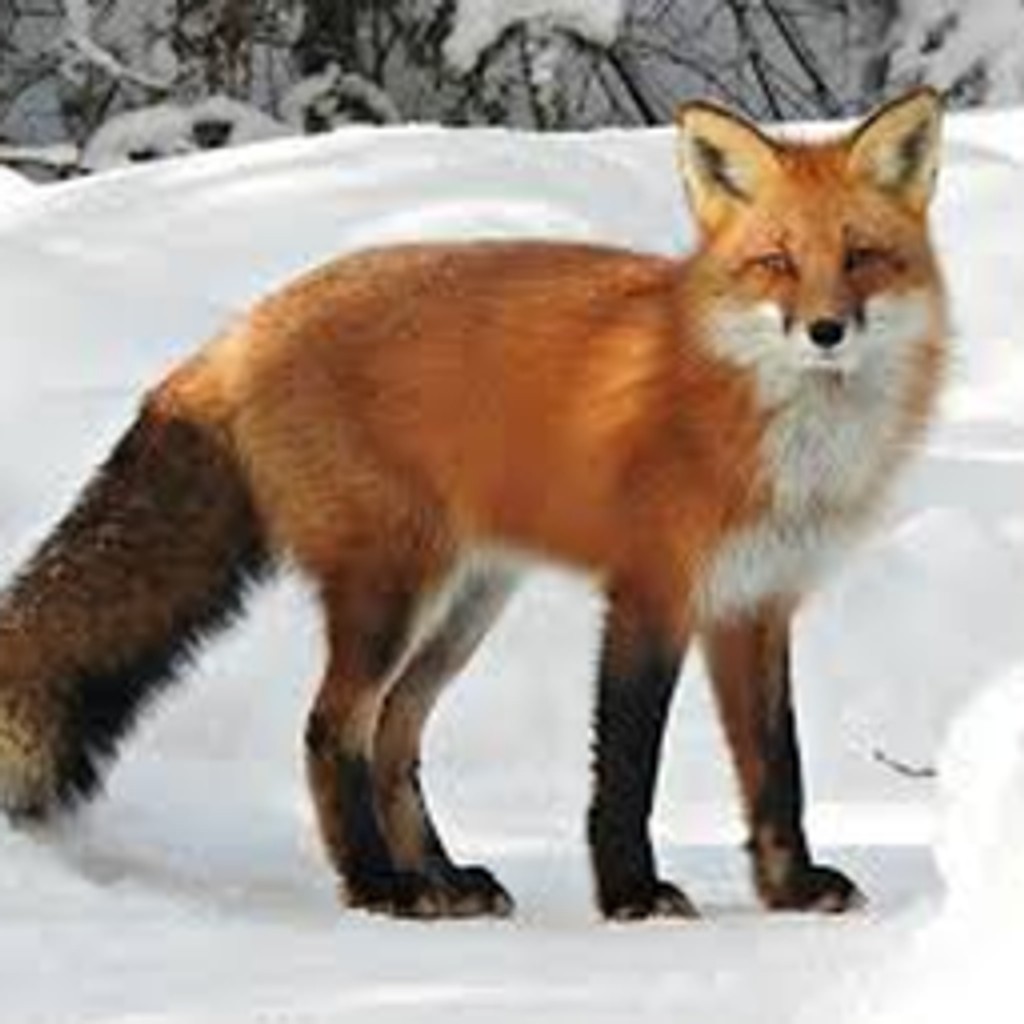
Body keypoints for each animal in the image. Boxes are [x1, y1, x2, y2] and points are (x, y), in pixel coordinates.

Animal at [0, 88, 947, 921]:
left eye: (861, 257)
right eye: (777, 262)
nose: (826, 330)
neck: (769, 422)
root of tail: (236, 335)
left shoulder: (756, 604)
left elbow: (777, 770)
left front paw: (790, 891)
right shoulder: (652, 592)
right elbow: (628, 765)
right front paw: (632, 895)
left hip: (465, 606)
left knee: (392, 739)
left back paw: (443, 877)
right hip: (392, 594)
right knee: (330, 731)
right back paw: (380, 887)